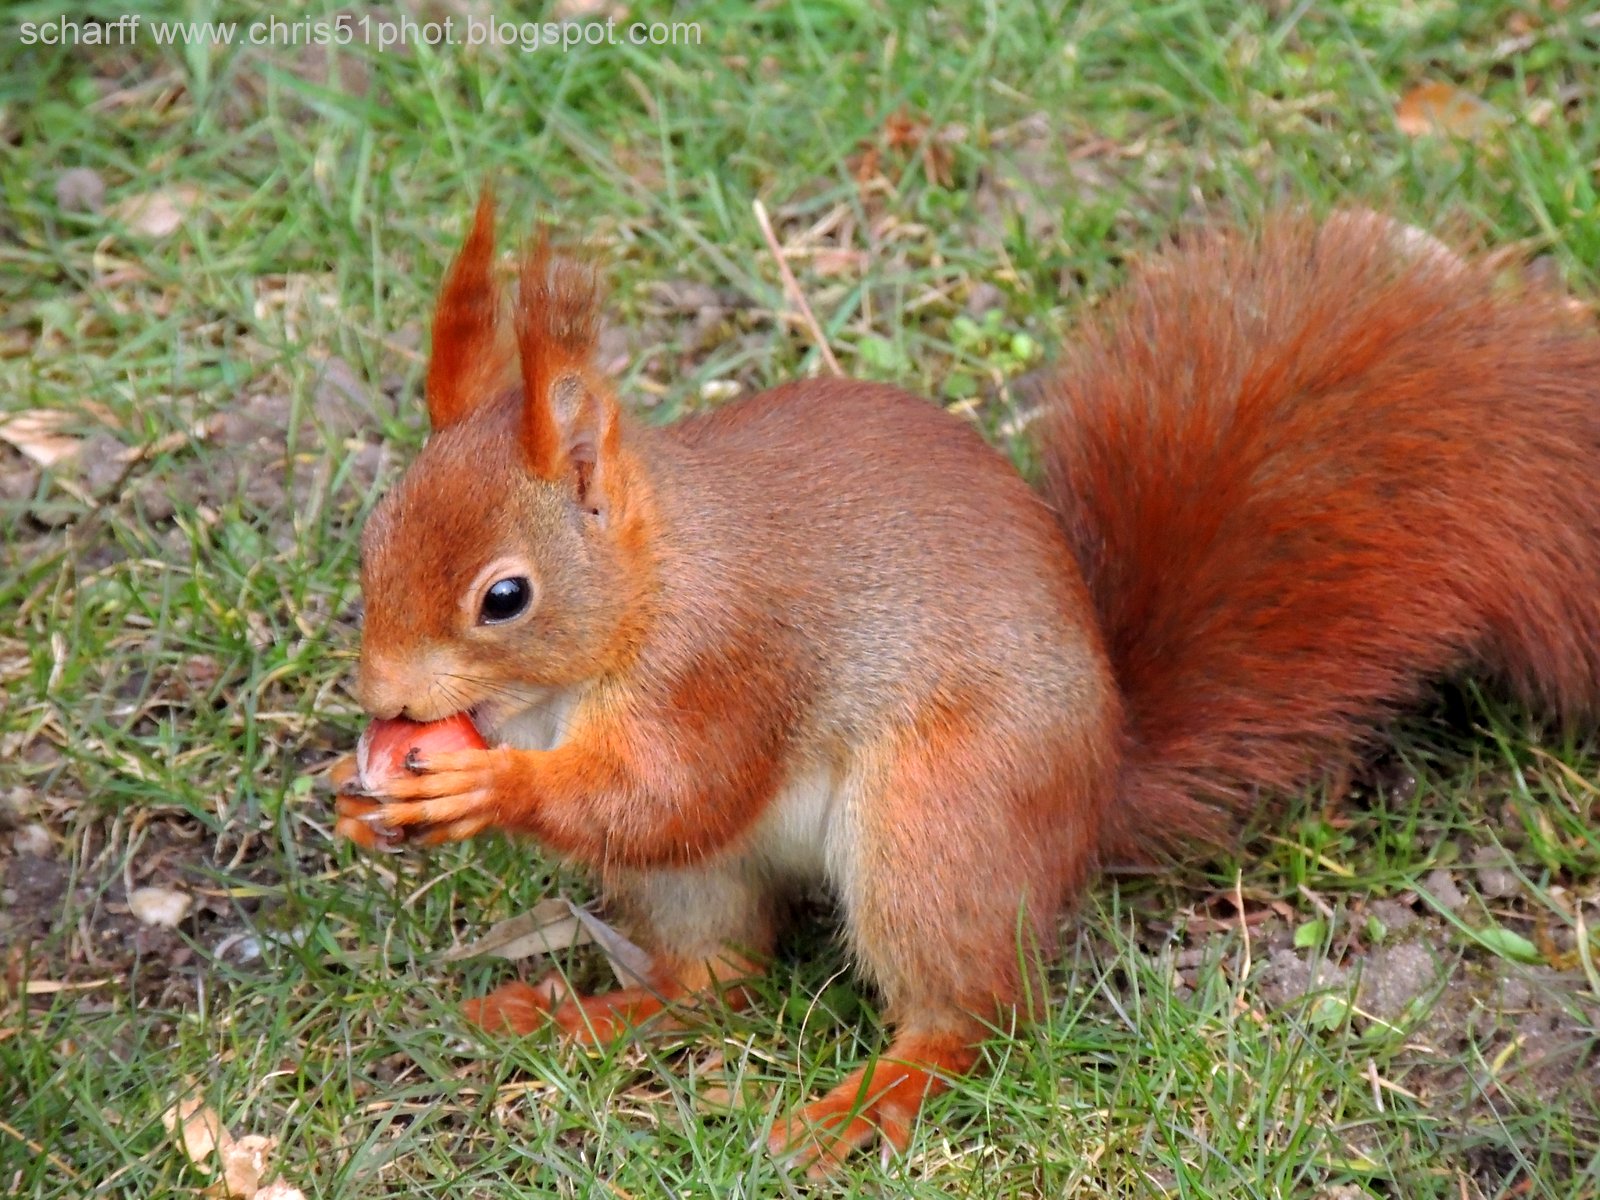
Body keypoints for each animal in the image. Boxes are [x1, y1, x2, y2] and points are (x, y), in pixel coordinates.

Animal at [339, 196, 1600, 1175]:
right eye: (376, 534)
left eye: (505, 597)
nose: (385, 697)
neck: (647, 591)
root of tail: (1097, 788)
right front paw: (368, 800)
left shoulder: (725, 663)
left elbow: (672, 791)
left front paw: (484, 790)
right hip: (728, 885)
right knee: (720, 976)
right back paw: (580, 1013)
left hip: (937, 828)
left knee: (973, 1016)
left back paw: (868, 1103)